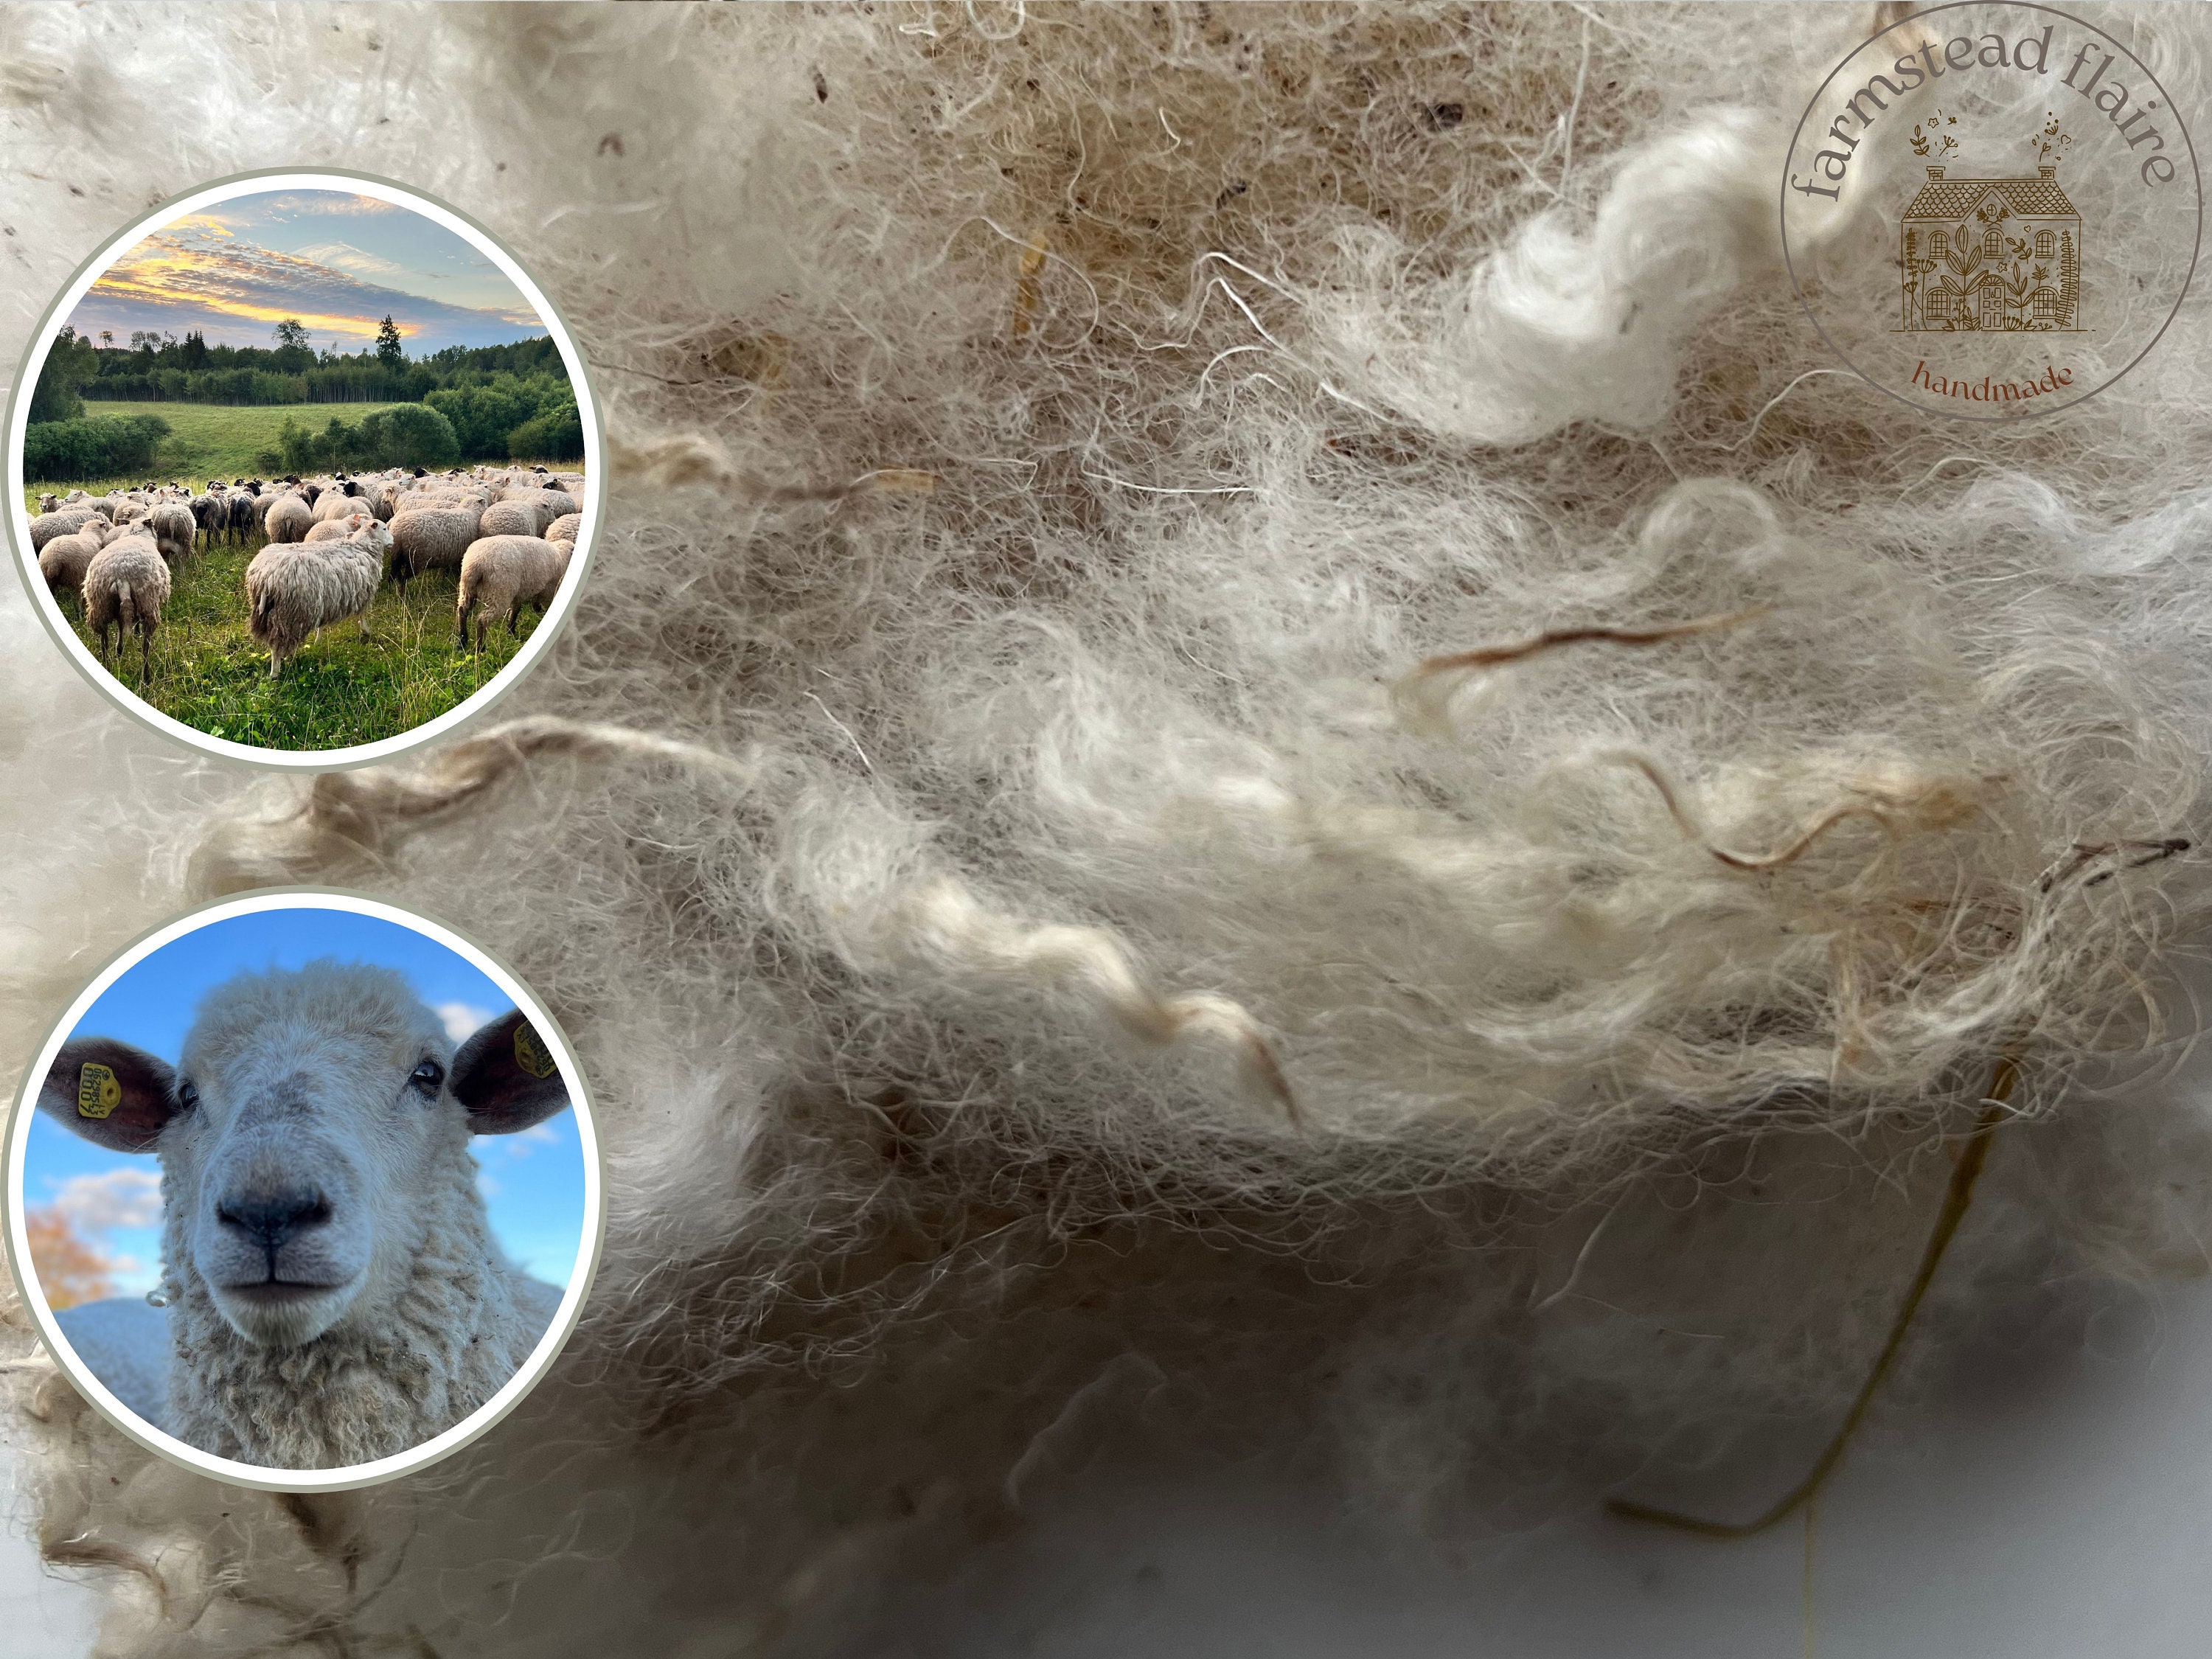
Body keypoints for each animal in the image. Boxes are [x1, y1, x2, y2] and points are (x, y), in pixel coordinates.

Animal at [82, 533, 169, 682]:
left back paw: (107, 663)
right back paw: (146, 677)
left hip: (101, 604)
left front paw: (119, 650)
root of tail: (122, 576)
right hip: (147, 602)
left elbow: (120, 627)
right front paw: (136, 632)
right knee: (145, 646)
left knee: (104, 640)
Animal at [245, 517, 394, 677]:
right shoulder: (364, 592)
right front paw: (366, 631)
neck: (362, 545)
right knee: (277, 644)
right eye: (384, 528)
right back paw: (275, 672)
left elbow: (322, 625)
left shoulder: (326, 599)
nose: (393, 541)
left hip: (267, 614)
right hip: (289, 613)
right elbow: (363, 614)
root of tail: (265, 577)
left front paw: (318, 641)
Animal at [387, 504, 486, 593]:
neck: (472, 512)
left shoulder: (450, 555)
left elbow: (446, 571)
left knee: (395, 574)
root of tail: (398, 532)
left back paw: (392, 590)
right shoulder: (460, 556)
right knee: (404, 578)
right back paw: (402, 594)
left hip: (397, 555)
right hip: (415, 559)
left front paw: (444, 580)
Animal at [455, 533, 572, 650]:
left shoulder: (519, 593)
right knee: (482, 620)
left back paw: (462, 641)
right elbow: (538, 604)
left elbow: (516, 610)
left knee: (462, 611)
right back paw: (480, 648)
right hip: (499, 593)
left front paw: (511, 632)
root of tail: (475, 565)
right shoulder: (548, 590)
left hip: (468, 590)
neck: (561, 555)